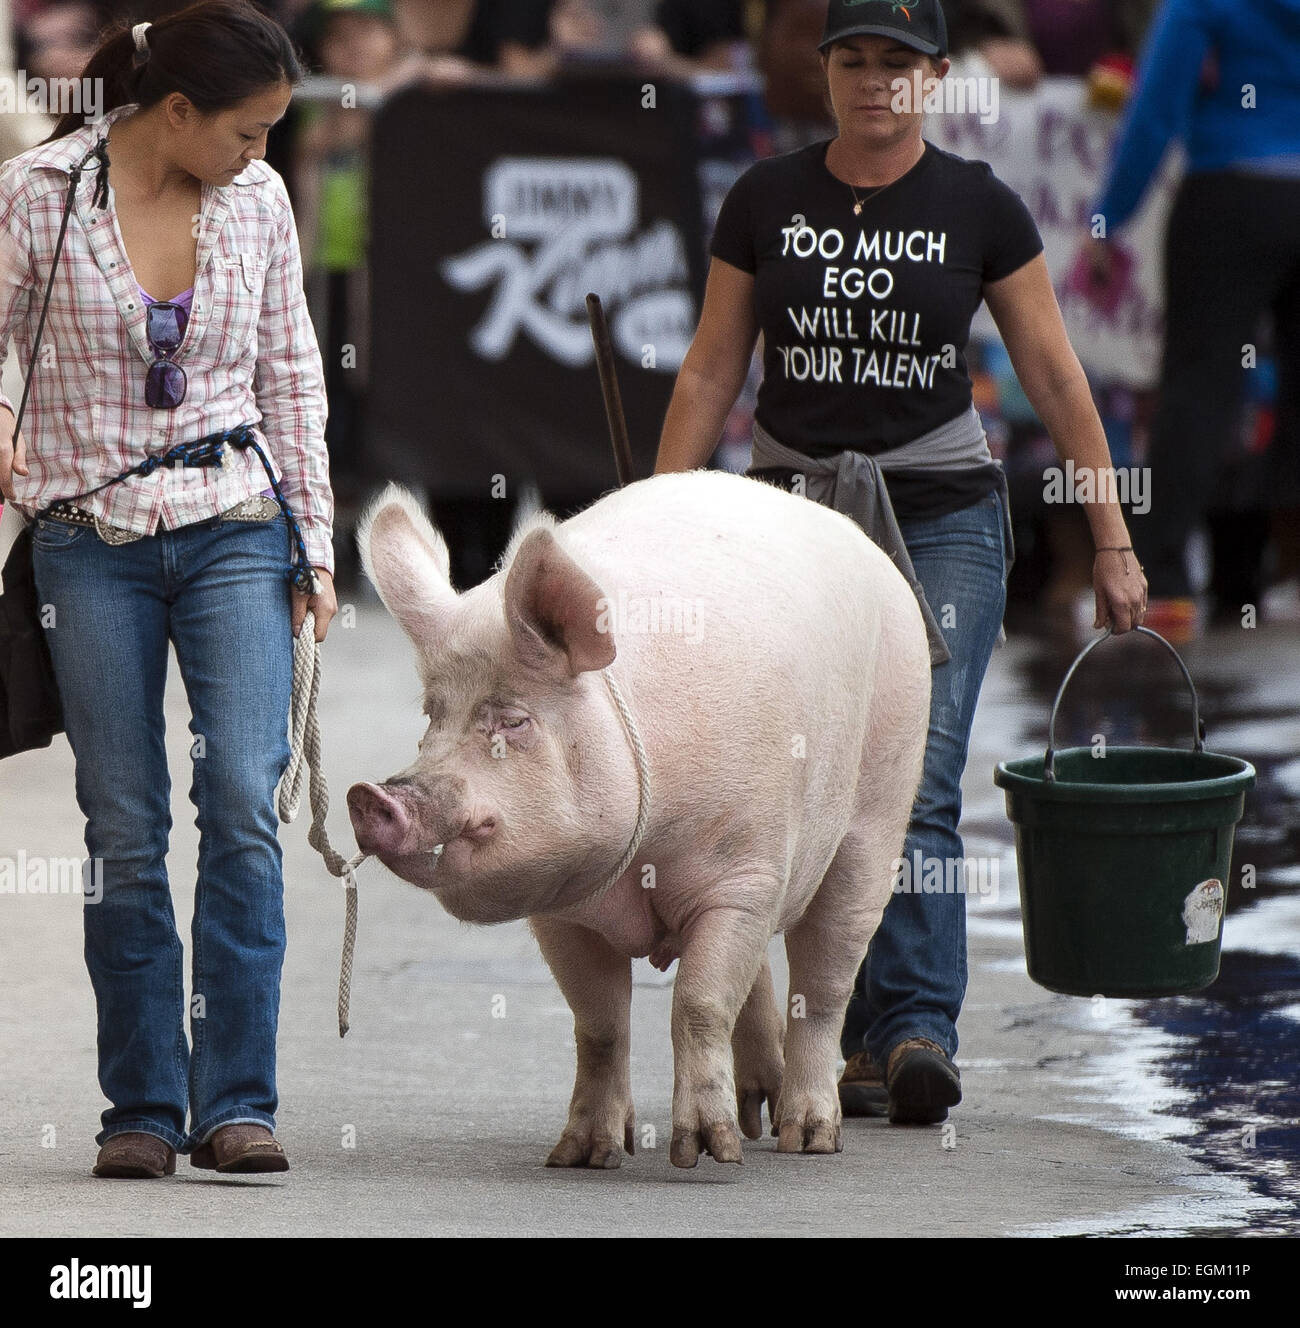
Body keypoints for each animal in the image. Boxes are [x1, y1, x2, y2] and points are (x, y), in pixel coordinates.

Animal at [347, 468, 930, 1169]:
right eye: (432, 714)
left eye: (513, 721)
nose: (374, 796)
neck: (643, 860)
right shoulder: (562, 912)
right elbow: (600, 1024)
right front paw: (580, 1157)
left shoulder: (746, 876)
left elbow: (699, 1003)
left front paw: (706, 1154)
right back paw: (756, 1115)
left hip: (879, 805)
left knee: (825, 980)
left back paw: (807, 1139)